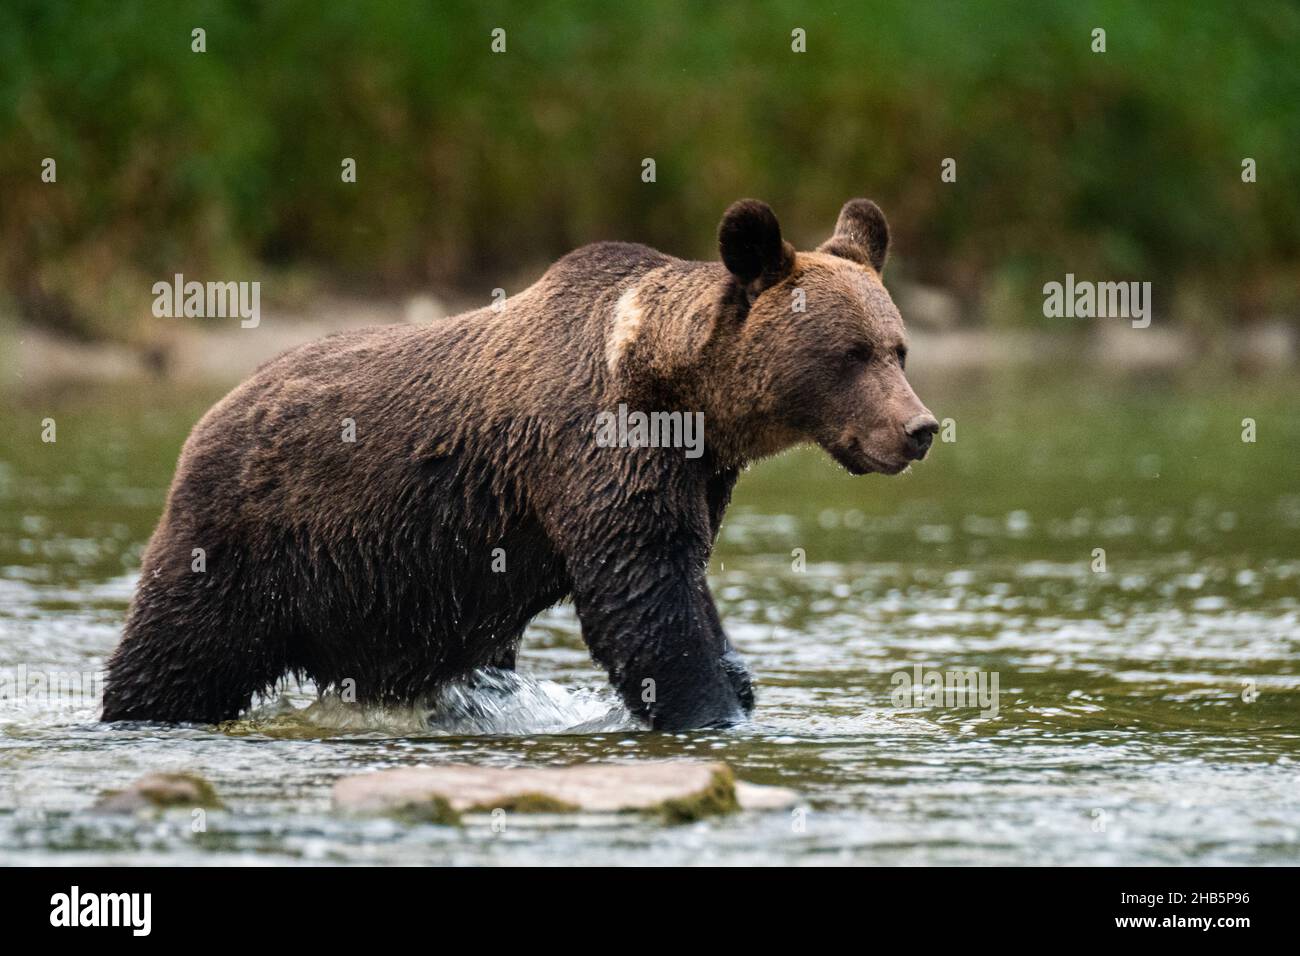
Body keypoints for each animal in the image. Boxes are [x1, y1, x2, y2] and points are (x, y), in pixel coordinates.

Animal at [101, 198, 938, 731]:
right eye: (850, 354)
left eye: (897, 349)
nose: (919, 429)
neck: (683, 396)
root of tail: (214, 410)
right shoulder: (603, 454)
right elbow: (645, 600)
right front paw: (715, 712)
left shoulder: (693, 475)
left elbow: (684, 584)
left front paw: (739, 690)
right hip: (251, 537)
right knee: (176, 653)